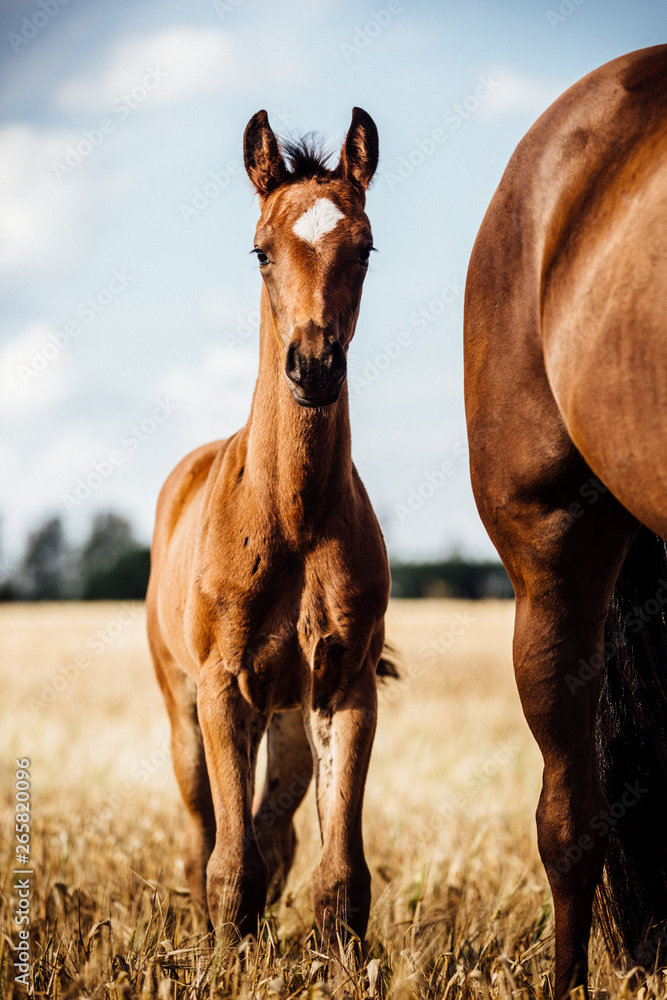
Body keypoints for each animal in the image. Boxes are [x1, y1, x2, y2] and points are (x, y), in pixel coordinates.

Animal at [146, 108, 392, 948]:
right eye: (259, 250)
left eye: (364, 246)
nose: (313, 366)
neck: (291, 517)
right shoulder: (222, 687)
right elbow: (230, 872)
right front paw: (224, 960)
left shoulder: (344, 684)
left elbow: (339, 880)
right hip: (185, 706)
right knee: (205, 835)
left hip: (284, 717)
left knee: (273, 831)